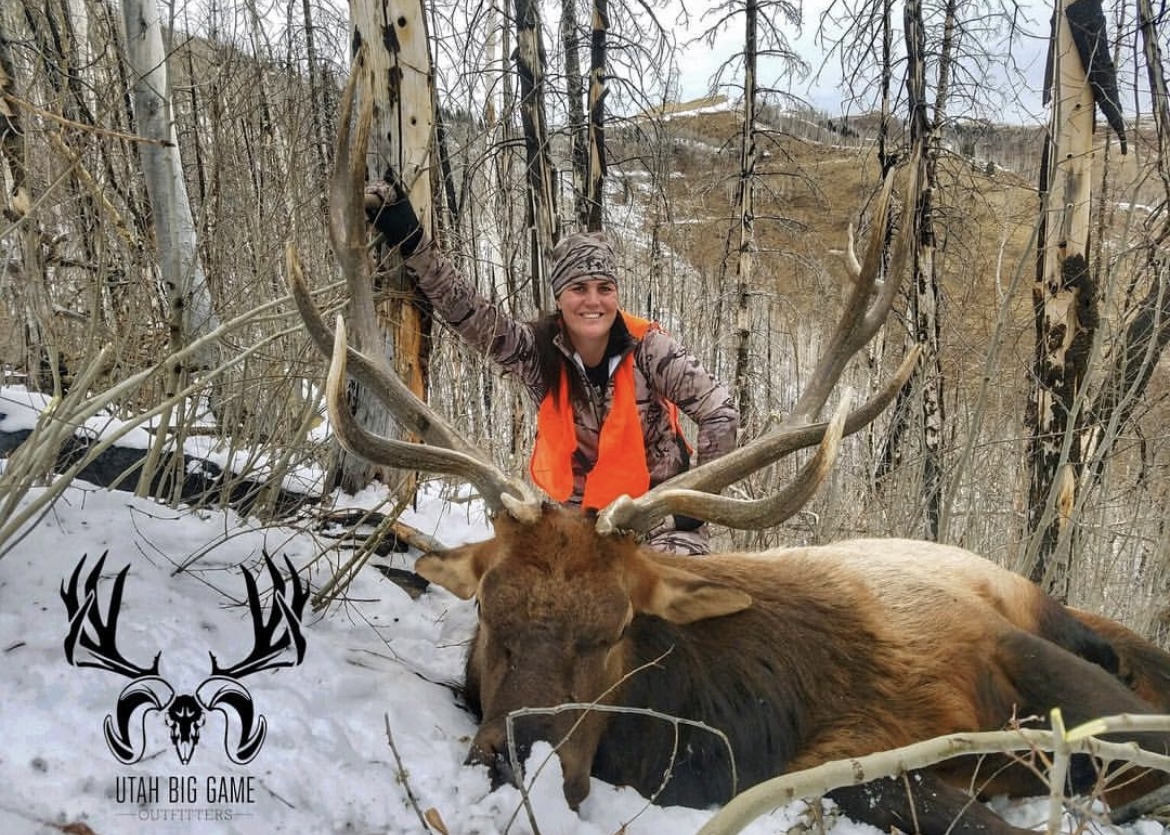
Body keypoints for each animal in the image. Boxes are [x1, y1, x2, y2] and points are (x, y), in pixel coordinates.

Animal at [285, 70, 1170, 835]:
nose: (515, 764)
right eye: (488, 615)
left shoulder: (980, 635)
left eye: (616, 629)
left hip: (1054, 613)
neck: (766, 713)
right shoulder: (849, 769)